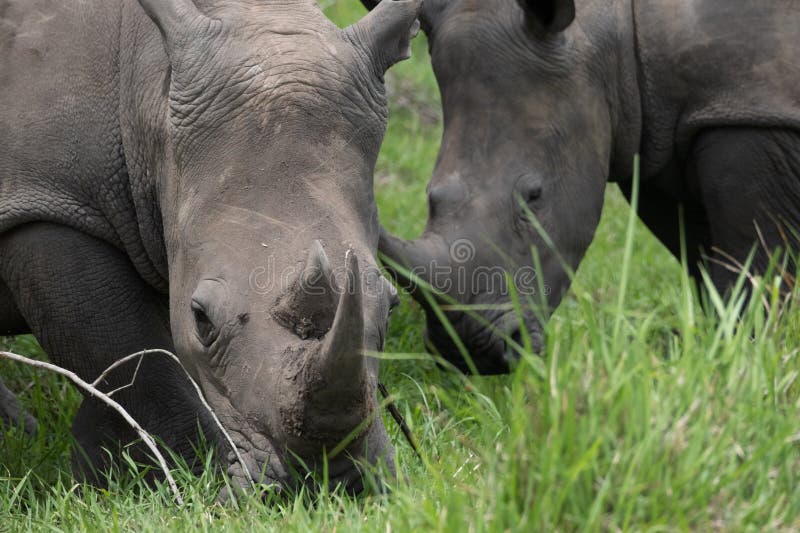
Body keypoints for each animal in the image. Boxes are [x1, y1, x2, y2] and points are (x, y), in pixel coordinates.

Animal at [0, 0, 421, 495]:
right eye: (201, 319)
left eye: (390, 307)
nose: (326, 484)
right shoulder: (44, 200)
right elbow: (133, 355)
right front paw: (195, 481)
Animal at [362, 0, 800, 374]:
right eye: (431, 197)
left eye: (534, 197)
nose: (469, 354)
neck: (607, 31)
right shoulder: (659, 134)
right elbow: (705, 259)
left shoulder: (750, 108)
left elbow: (756, 263)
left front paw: (750, 360)